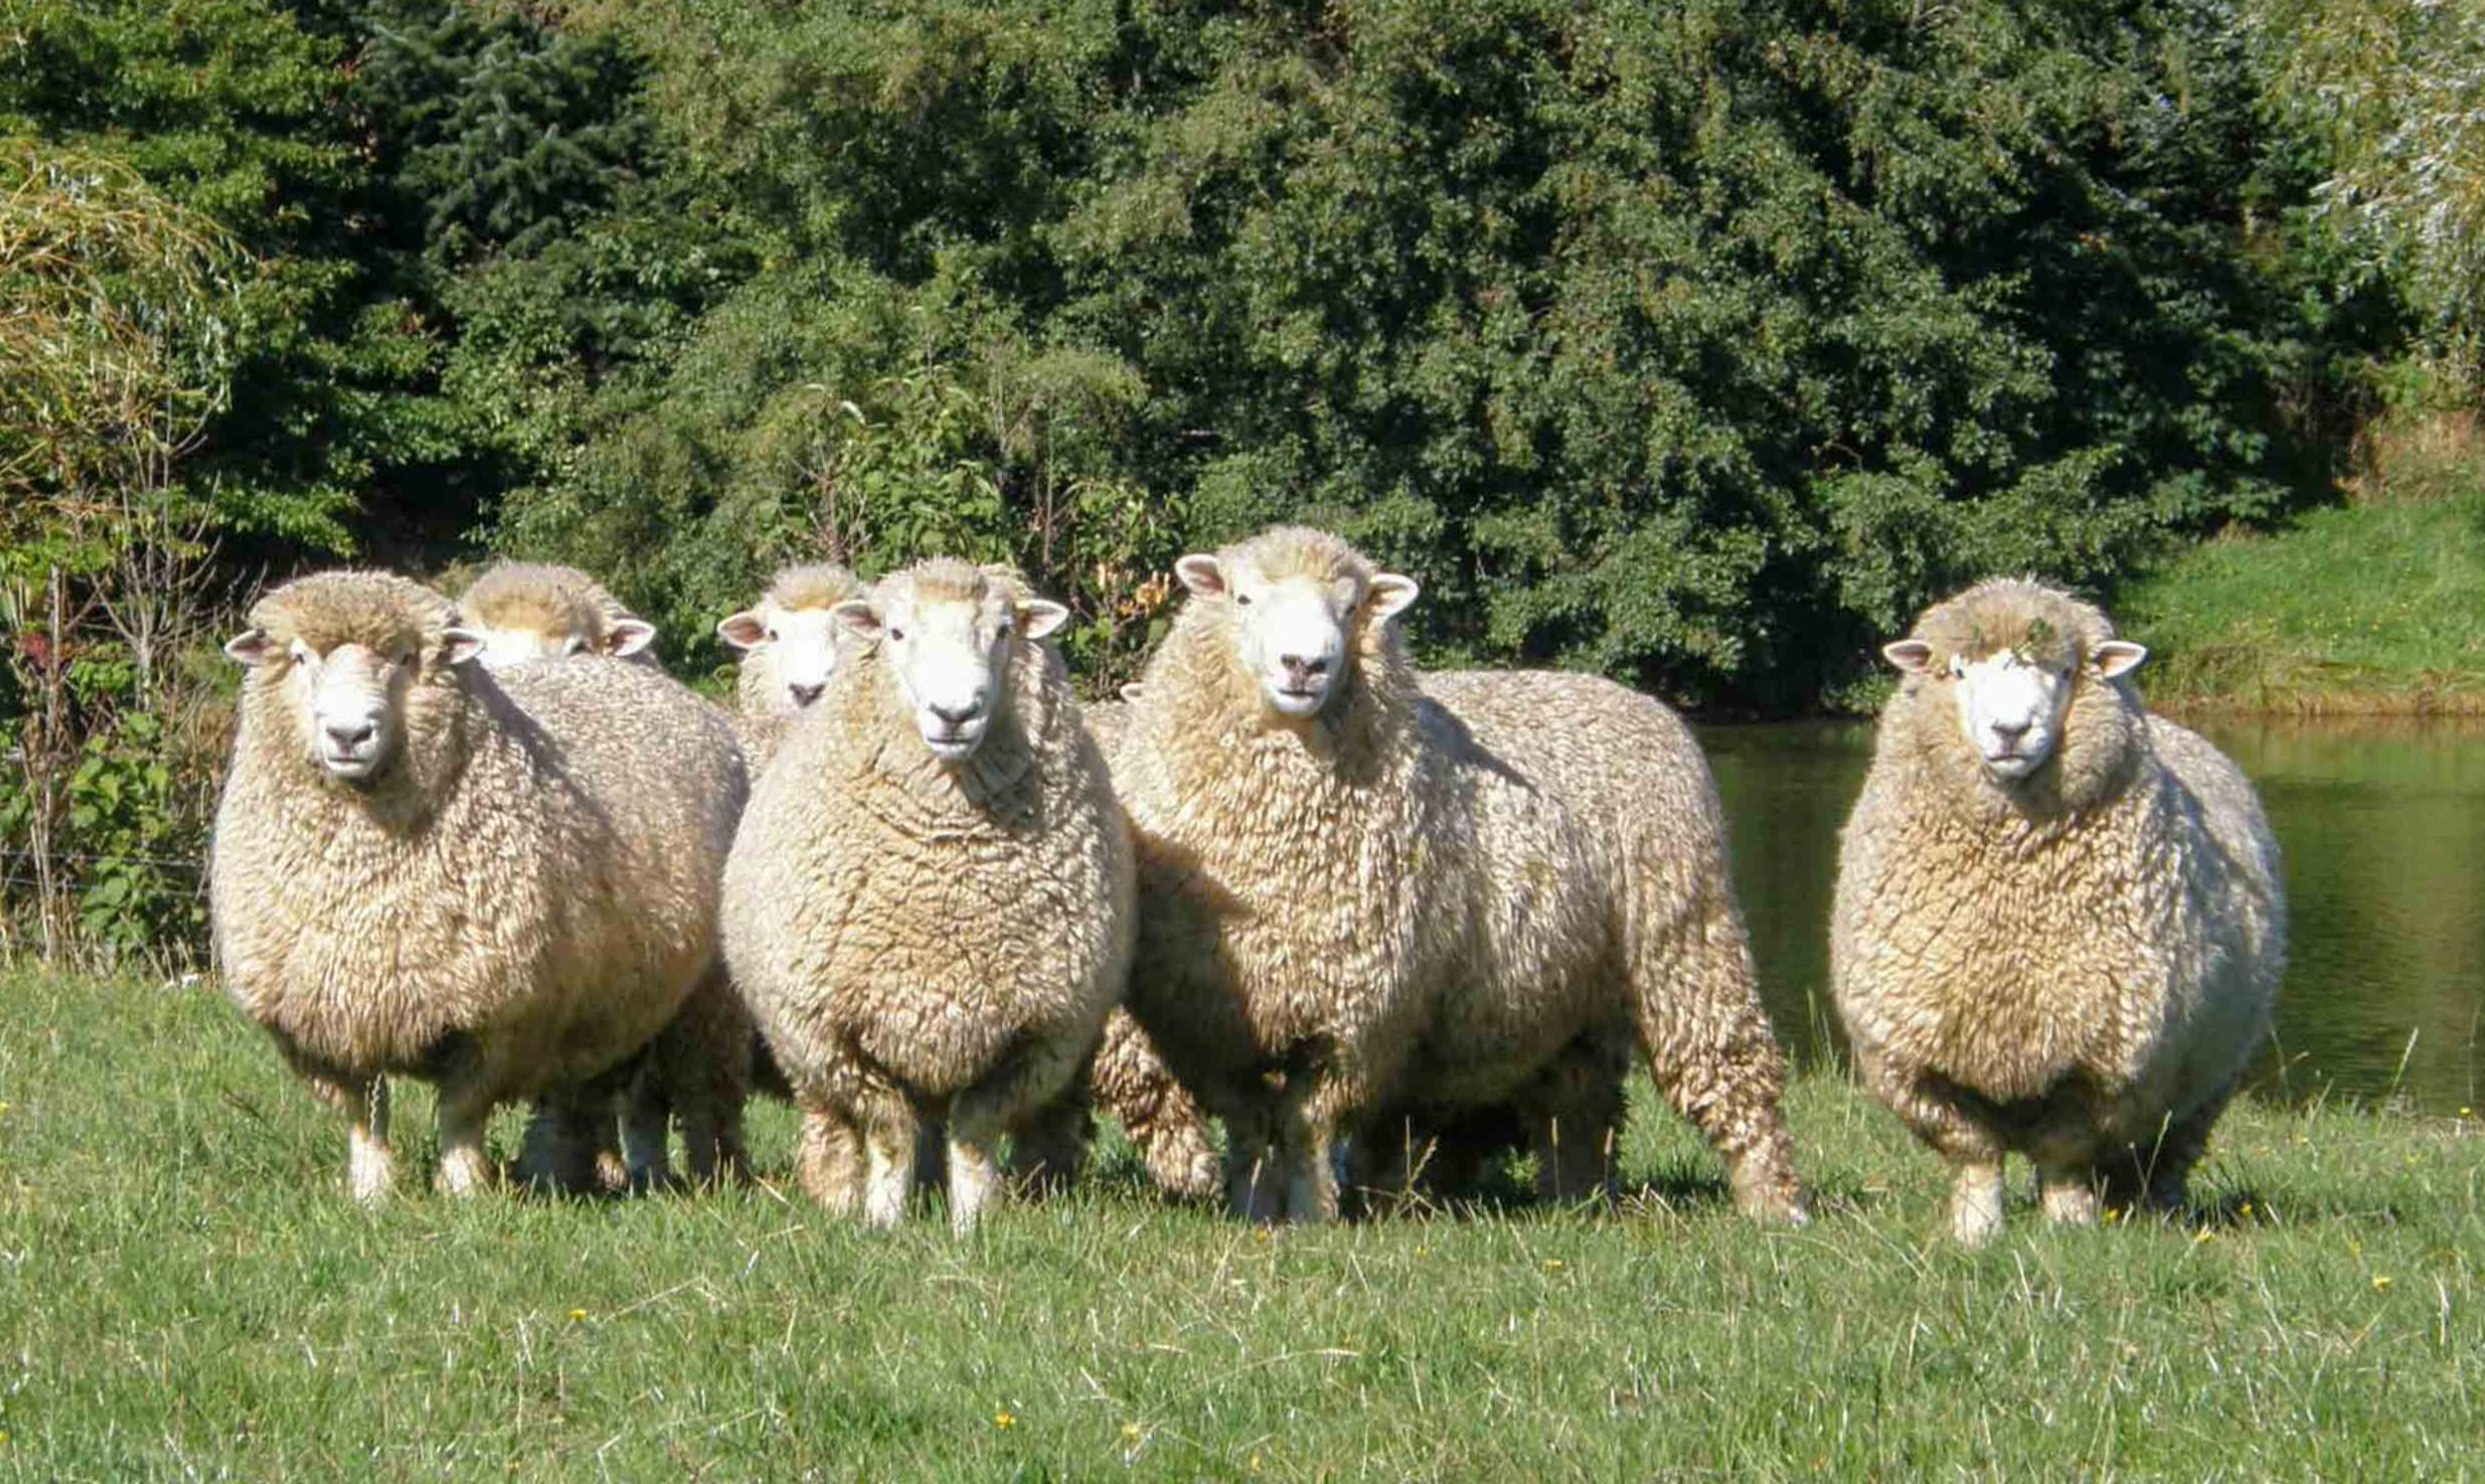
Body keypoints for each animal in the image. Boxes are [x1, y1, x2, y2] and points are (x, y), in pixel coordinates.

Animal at [210, 571, 746, 1199]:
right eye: (299, 658)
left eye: (405, 657)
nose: (349, 734)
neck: (362, 877)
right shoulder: (325, 1015)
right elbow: (365, 1113)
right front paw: (372, 1192)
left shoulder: (500, 1011)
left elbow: (460, 1110)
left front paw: (464, 1190)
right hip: (608, 997)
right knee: (598, 1089)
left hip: (700, 996)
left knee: (695, 1093)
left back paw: (709, 1174)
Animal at [721, 559, 1133, 1233]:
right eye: (894, 633)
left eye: (1003, 631)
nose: (955, 712)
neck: (945, 882)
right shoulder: (833, 1035)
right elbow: (888, 1129)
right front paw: (883, 1223)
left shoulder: (1042, 1032)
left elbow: (973, 1129)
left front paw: (972, 1223)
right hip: (803, 1046)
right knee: (842, 1126)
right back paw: (838, 1193)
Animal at [1831, 577, 2285, 1244]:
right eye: (1958, 670)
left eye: (2066, 670)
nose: (2010, 731)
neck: (2012, 905)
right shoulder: (1915, 1061)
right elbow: (1974, 1153)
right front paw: (1974, 1233)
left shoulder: (2107, 1062)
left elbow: (2063, 1153)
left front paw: (2069, 1228)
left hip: (2207, 1078)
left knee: (2169, 1155)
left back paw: (2163, 1213)